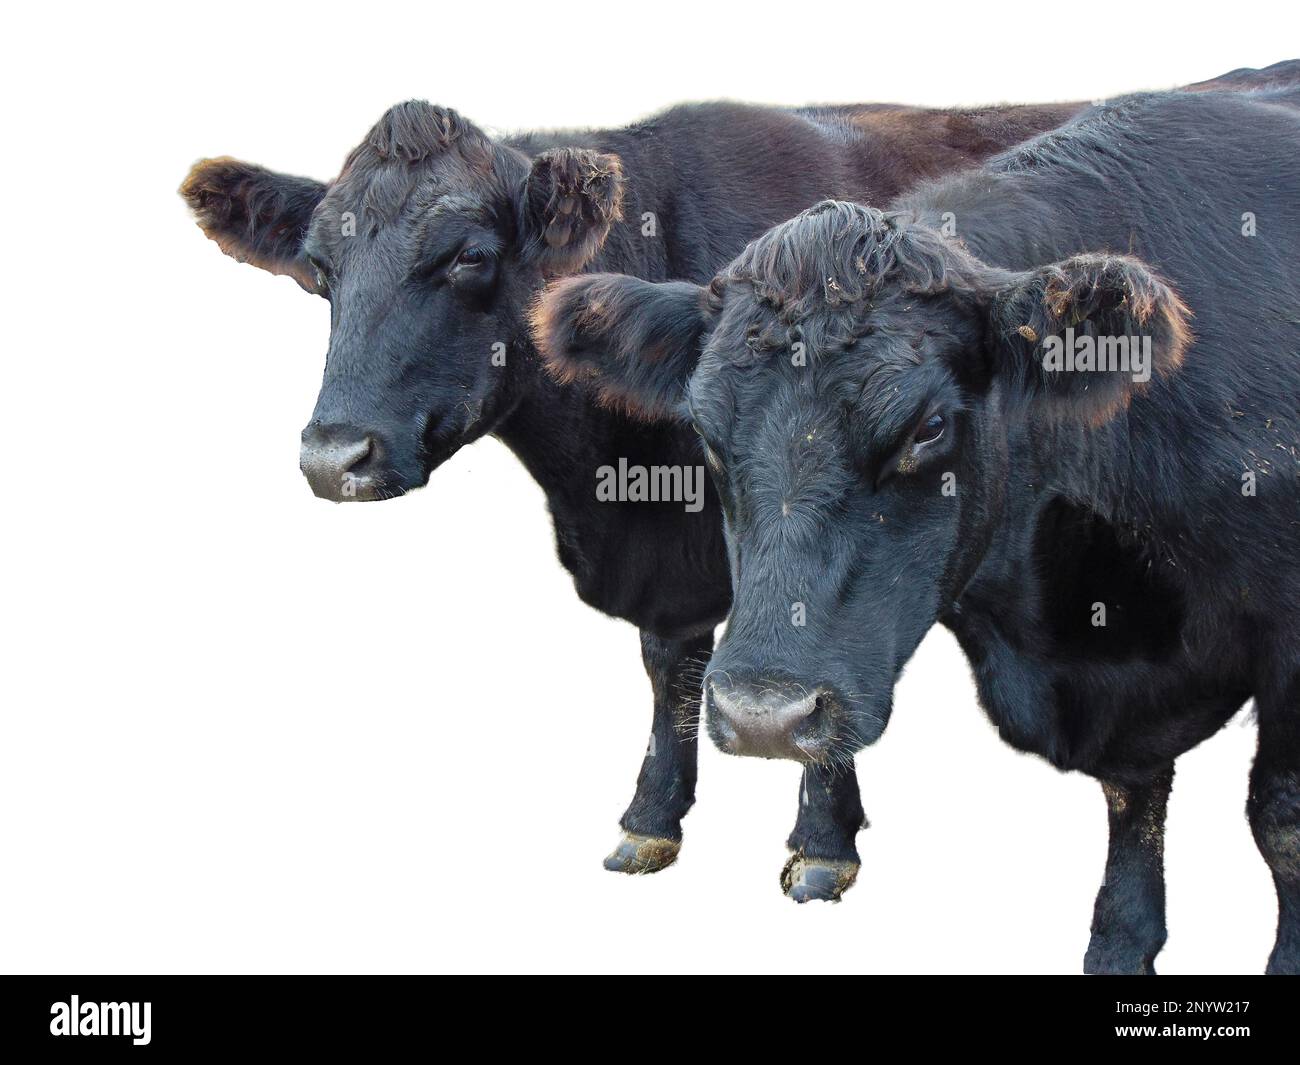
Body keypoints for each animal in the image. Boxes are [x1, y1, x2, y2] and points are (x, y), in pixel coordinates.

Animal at [532, 84, 1300, 971]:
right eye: (702, 426)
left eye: (929, 426)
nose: (764, 714)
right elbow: (1134, 793)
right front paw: (1120, 942)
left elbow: (1280, 820)